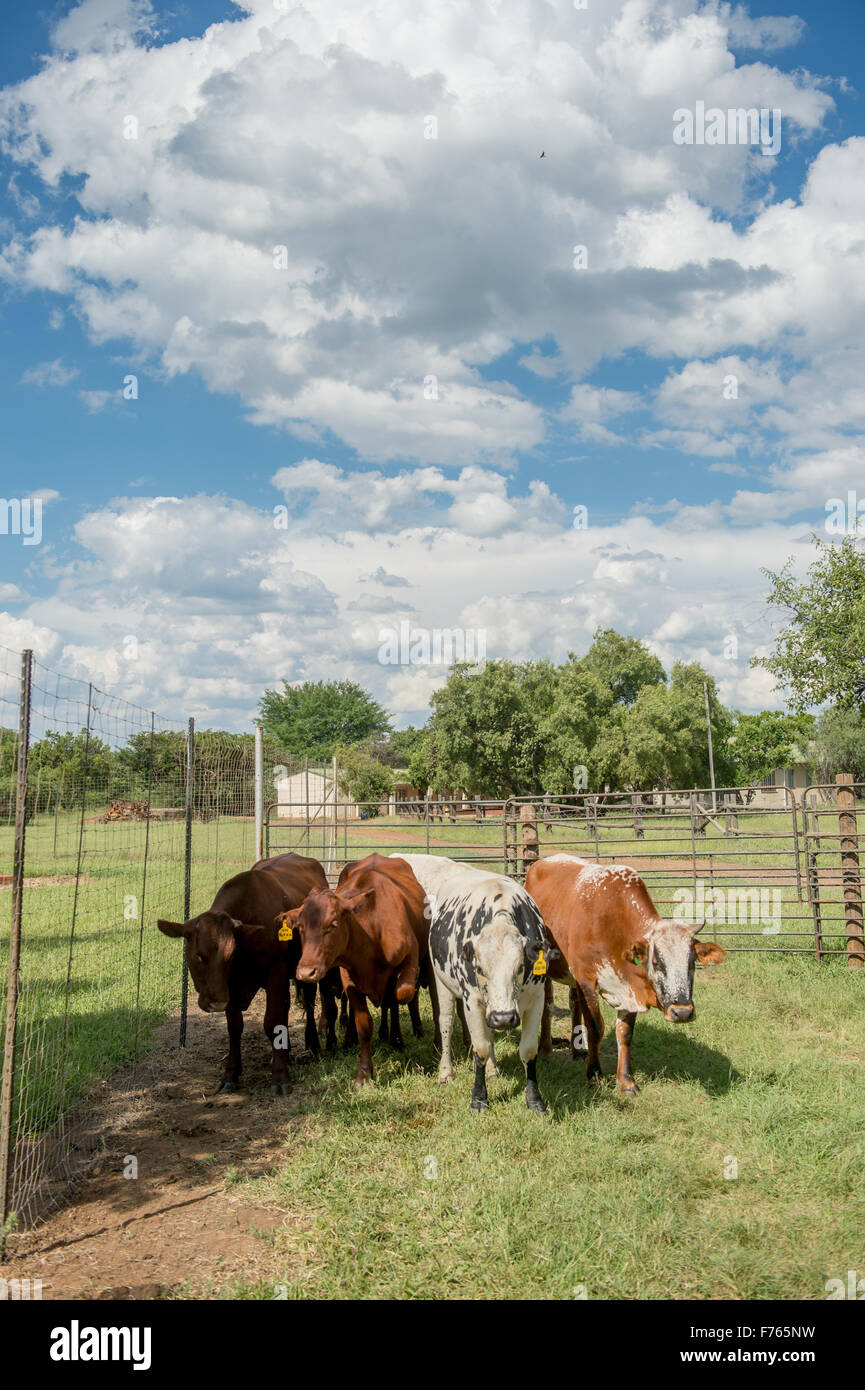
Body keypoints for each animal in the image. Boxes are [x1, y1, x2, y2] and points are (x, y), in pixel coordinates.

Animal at [157, 852, 336, 1095]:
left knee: (308, 1003)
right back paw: (288, 1051)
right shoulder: (230, 987)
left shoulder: (276, 975)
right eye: (198, 955)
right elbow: (235, 1027)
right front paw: (231, 1074)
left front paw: (280, 1076)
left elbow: (272, 1022)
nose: (216, 1002)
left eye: (231, 954)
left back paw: (312, 1046)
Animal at [277, 852, 431, 1088]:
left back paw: (394, 1037)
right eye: (300, 927)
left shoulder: (410, 955)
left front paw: (395, 1035)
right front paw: (364, 1074)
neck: (372, 931)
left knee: (394, 1001)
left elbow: (401, 994)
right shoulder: (350, 981)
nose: (305, 972)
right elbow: (363, 1025)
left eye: (333, 924)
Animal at [392, 854, 560, 1114]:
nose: (503, 1018)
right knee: (446, 1023)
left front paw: (534, 1100)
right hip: (443, 985)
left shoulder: (535, 998)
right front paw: (479, 1099)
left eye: (520, 967)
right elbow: (479, 1047)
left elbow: (528, 1050)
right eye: (480, 969)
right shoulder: (472, 1001)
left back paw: (493, 1068)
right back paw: (445, 1071)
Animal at [525, 854, 725, 1094]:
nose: (683, 1012)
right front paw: (595, 1075)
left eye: (691, 963)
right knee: (546, 1005)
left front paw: (627, 1081)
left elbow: (625, 1033)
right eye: (656, 962)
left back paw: (577, 1050)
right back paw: (545, 1050)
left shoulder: (628, 988)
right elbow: (595, 1028)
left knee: (574, 1004)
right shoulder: (587, 981)